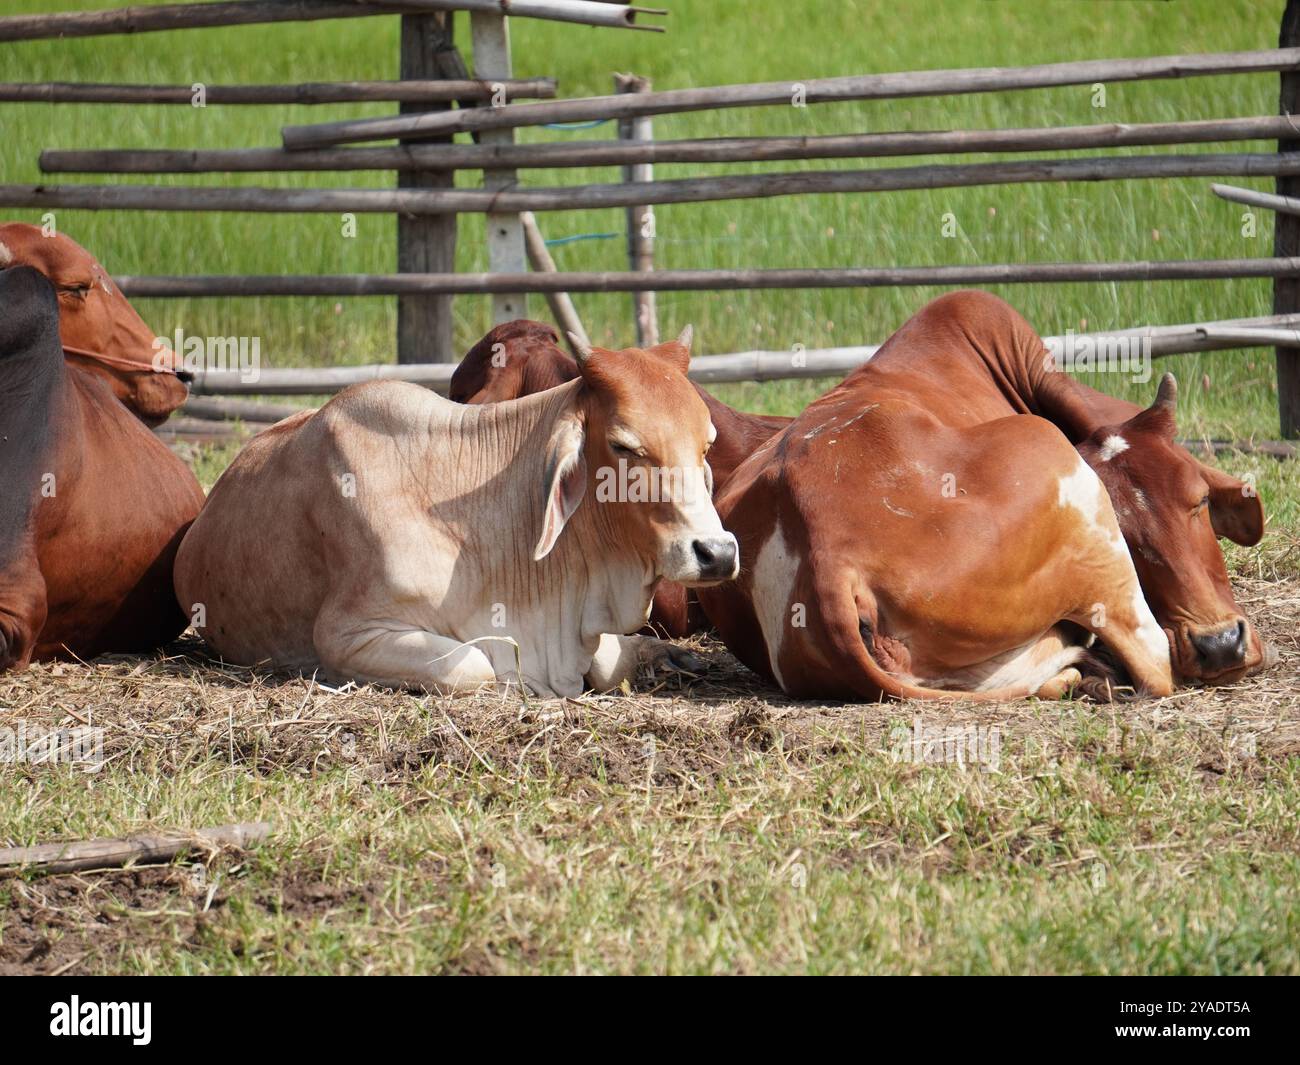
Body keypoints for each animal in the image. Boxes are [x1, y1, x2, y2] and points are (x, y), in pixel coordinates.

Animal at [173, 329, 739, 697]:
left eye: (707, 444)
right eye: (624, 445)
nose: (717, 553)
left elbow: (602, 661)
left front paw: (658, 655)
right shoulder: (346, 634)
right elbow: (478, 665)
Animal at [698, 290, 1265, 701]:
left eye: (1198, 501)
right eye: (1130, 533)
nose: (1221, 645)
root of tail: (828, 554)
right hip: (1068, 490)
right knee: (1152, 664)